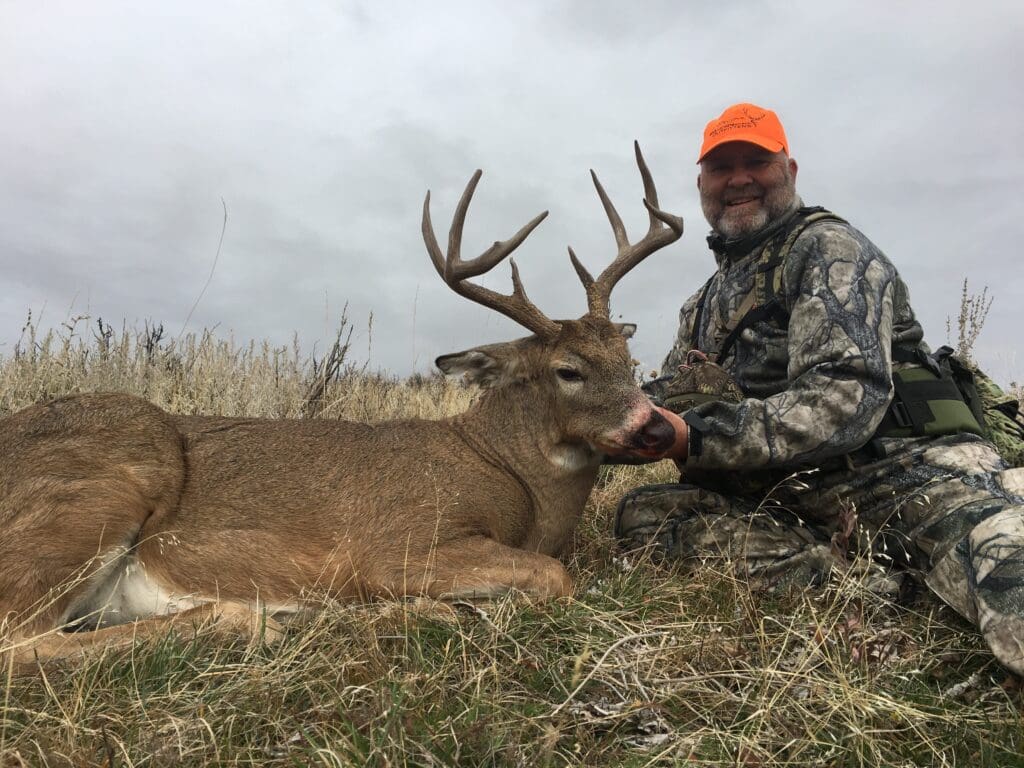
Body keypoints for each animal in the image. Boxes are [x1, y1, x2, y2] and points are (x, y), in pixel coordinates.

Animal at [0, 143, 684, 666]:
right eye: (568, 371)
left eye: (629, 361)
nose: (655, 429)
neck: (511, 474)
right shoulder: (396, 543)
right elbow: (555, 576)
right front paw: (422, 610)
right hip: (106, 476)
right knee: (20, 641)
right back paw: (257, 620)